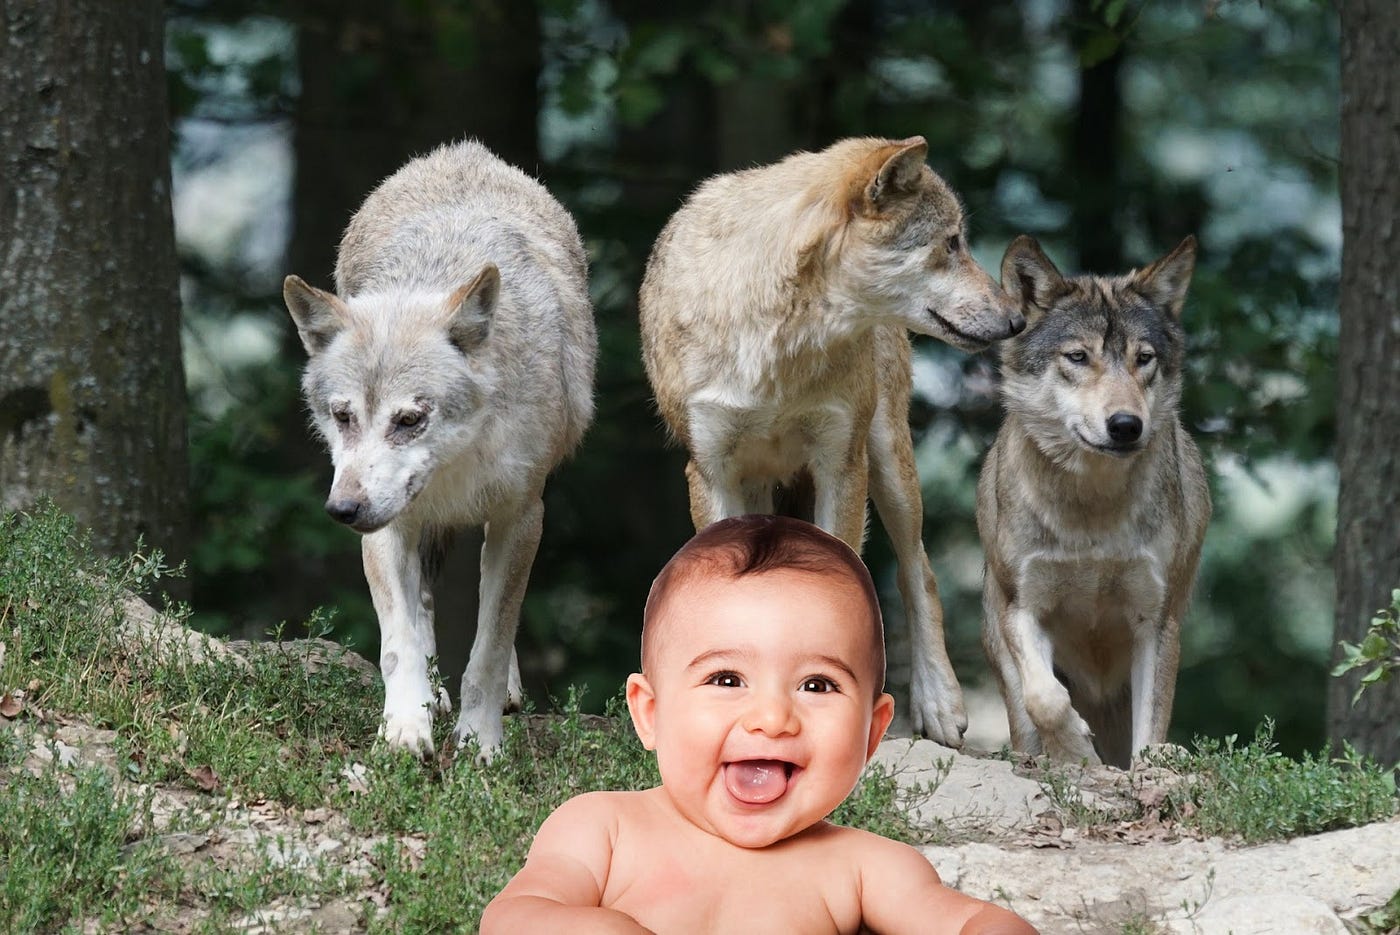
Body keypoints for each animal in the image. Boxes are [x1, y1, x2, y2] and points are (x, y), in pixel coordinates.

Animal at [282, 140, 596, 758]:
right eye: (343, 416)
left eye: (410, 420)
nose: (342, 510)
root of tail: (461, 151)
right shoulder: (386, 527)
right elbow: (398, 642)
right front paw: (405, 728)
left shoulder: (522, 517)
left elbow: (490, 646)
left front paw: (480, 744)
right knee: (424, 605)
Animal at [639, 136, 1026, 748]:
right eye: (951, 243)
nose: (1017, 320)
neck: (780, 342)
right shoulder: (710, 471)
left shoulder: (840, 464)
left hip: (888, 464)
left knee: (920, 571)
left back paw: (939, 705)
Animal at [977, 235, 1210, 767]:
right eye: (1079, 357)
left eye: (1144, 358)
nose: (1125, 425)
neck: (1091, 513)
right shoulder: (1023, 606)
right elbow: (1044, 699)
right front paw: (1076, 751)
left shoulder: (1156, 622)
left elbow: (1151, 732)